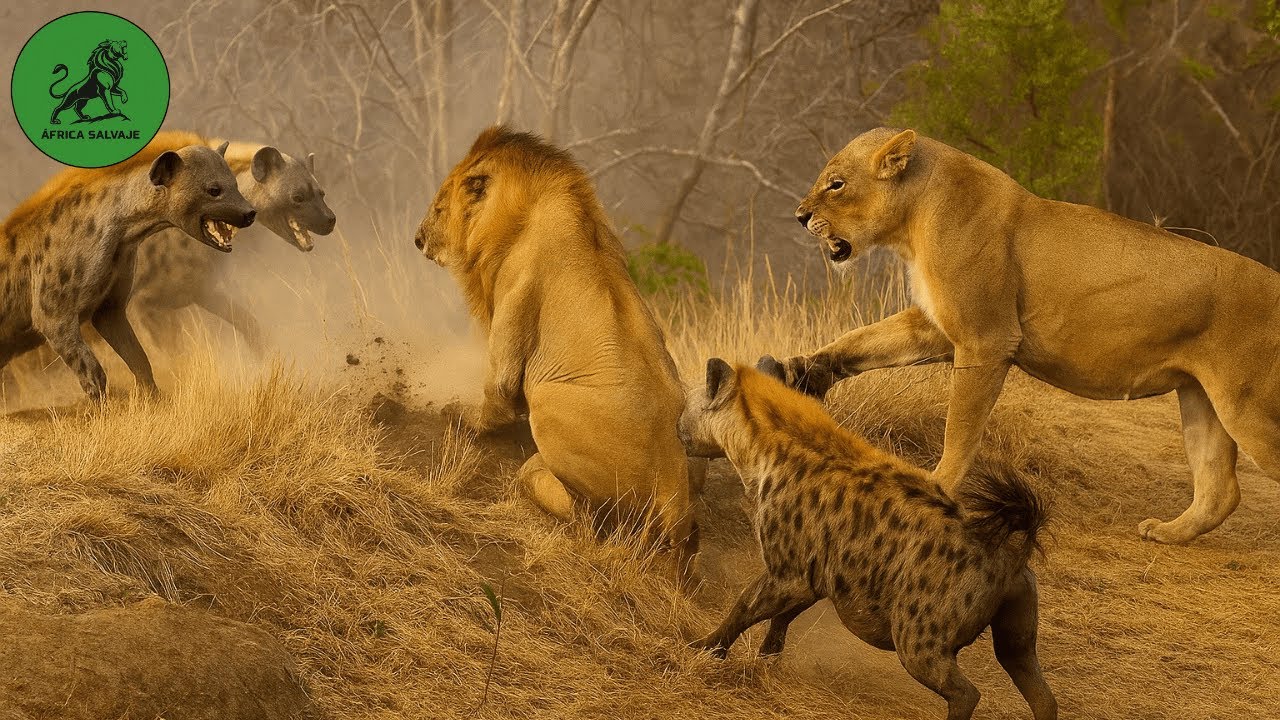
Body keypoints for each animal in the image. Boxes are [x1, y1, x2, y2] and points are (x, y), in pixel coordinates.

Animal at [414, 126, 698, 580]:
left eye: (439, 206)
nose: (418, 239)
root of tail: (671, 488)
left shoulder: (513, 299)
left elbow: (495, 397)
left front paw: (457, 412)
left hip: (551, 412)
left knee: (584, 519)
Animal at [783, 126, 1280, 545]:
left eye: (836, 184)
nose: (800, 216)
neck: (912, 221)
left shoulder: (986, 339)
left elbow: (960, 429)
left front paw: (936, 490)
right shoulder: (937, 326)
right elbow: (862, 340)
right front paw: (802, 370)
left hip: (1247, 407)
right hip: (1202, 398)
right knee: (1220, 490)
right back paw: (1167, 532)